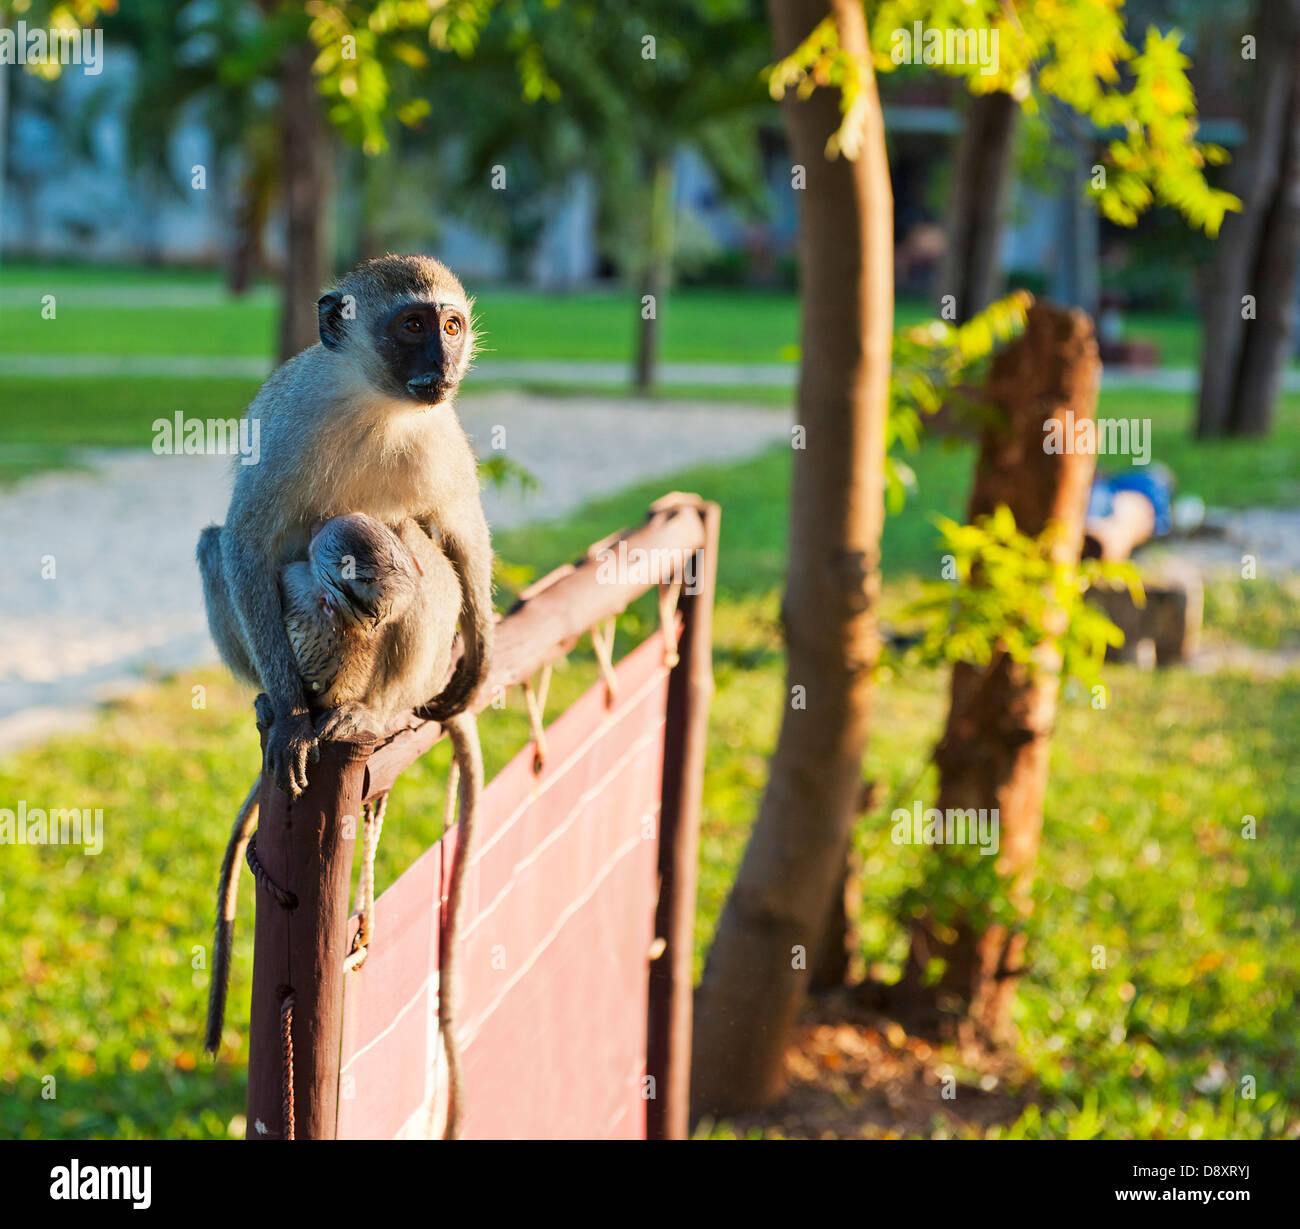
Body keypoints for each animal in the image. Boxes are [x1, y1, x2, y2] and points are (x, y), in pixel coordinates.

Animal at [200, 253, 494, 800]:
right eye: (413, 325)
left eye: (451, 327)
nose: (443, 365)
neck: (378, 406)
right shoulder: (288, 427)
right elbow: (246, 543)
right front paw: (292, 718)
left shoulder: (442, 430)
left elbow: (462, 534)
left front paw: (482, 656)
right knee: (214, 547)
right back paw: (273, 699)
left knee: (416, 542)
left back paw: (372, 710)